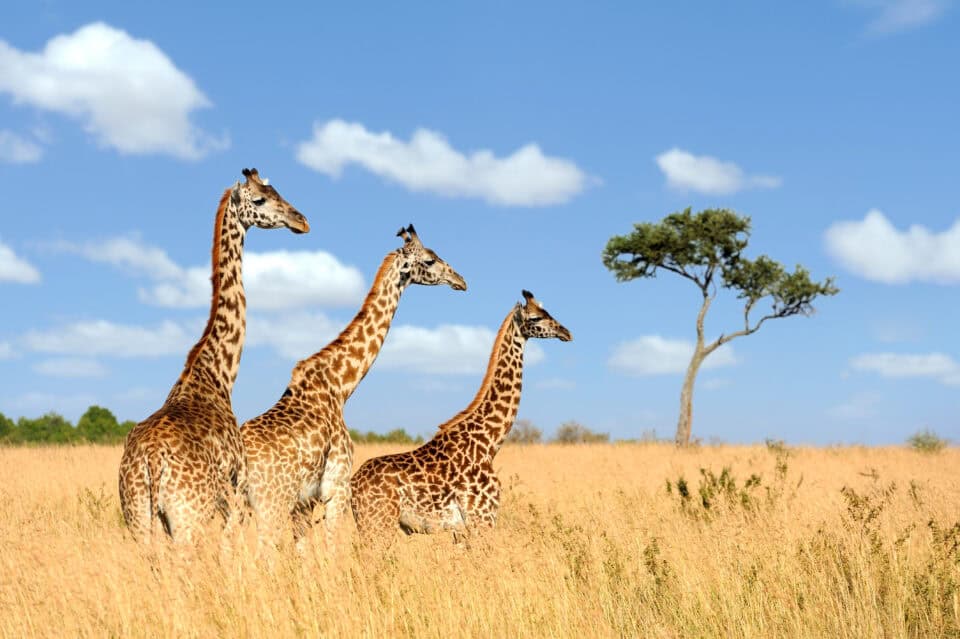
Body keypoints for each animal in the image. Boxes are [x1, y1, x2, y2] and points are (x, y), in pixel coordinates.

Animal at [118, 168, 310, 544]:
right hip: (186, 518)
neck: (217, 373)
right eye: (260, 199)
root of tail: (150, 461)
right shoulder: (236, 491)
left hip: (138, 518)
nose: (302, 221)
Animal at [241, 224, 467, 550]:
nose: (460, 281)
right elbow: (332, 549)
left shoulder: (305, 502)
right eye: (430, 259)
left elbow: (303, 551)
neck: (340, 385)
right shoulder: (336, 488)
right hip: (270, 501)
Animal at [350, 289, 572, 543]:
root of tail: (352, 485)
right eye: (535, 317)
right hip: (378, 525)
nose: (566, 332)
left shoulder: (462, 530)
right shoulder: (482, 518)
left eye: (548, 311)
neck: (490, 443)